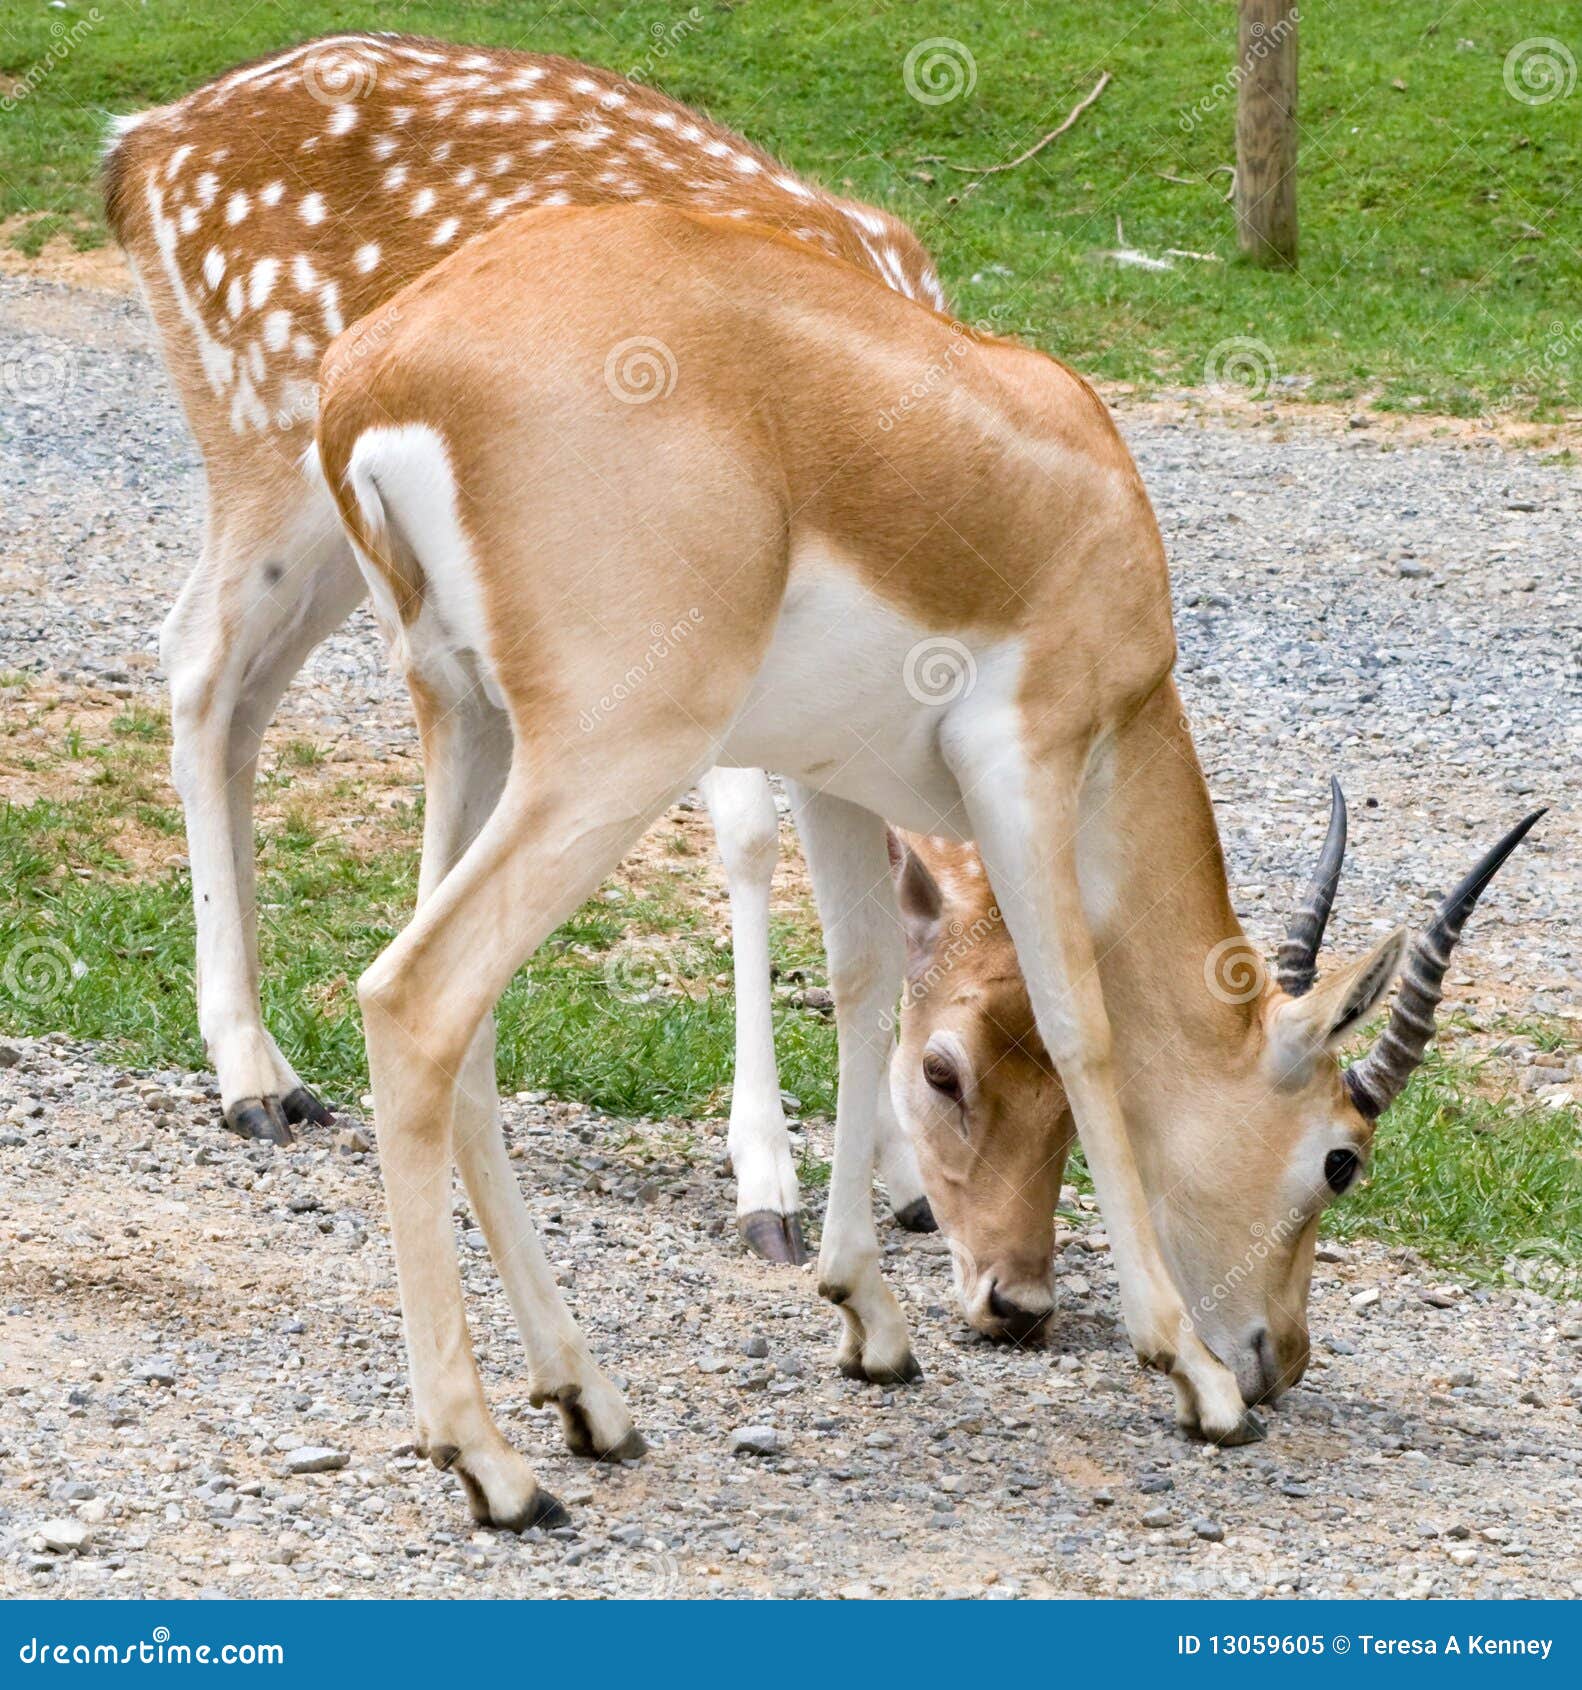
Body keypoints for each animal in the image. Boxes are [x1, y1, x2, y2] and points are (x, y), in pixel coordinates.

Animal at [102, 31, 948, 1261]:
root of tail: (138, 149)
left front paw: (893, 1176)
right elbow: (749, 841)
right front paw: (768, 1180)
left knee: (240, 683)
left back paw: (279, 1069)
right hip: (262, 433)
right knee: (199, 657)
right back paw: (252, 1076)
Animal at [313, 201, 1541, 1526]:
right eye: (1340, 1160)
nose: (1281, 1357)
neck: (1075, 498)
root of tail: (385, 367)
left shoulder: (831, 771)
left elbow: (862, 987)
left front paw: (866, 1314)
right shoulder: (1025, 763)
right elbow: (1081, 1023)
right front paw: (1191, 1376)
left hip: (467, 723)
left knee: (470, 1028)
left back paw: (588, 1401)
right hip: (613, 750)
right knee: (414, 995)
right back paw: (490, 1462)